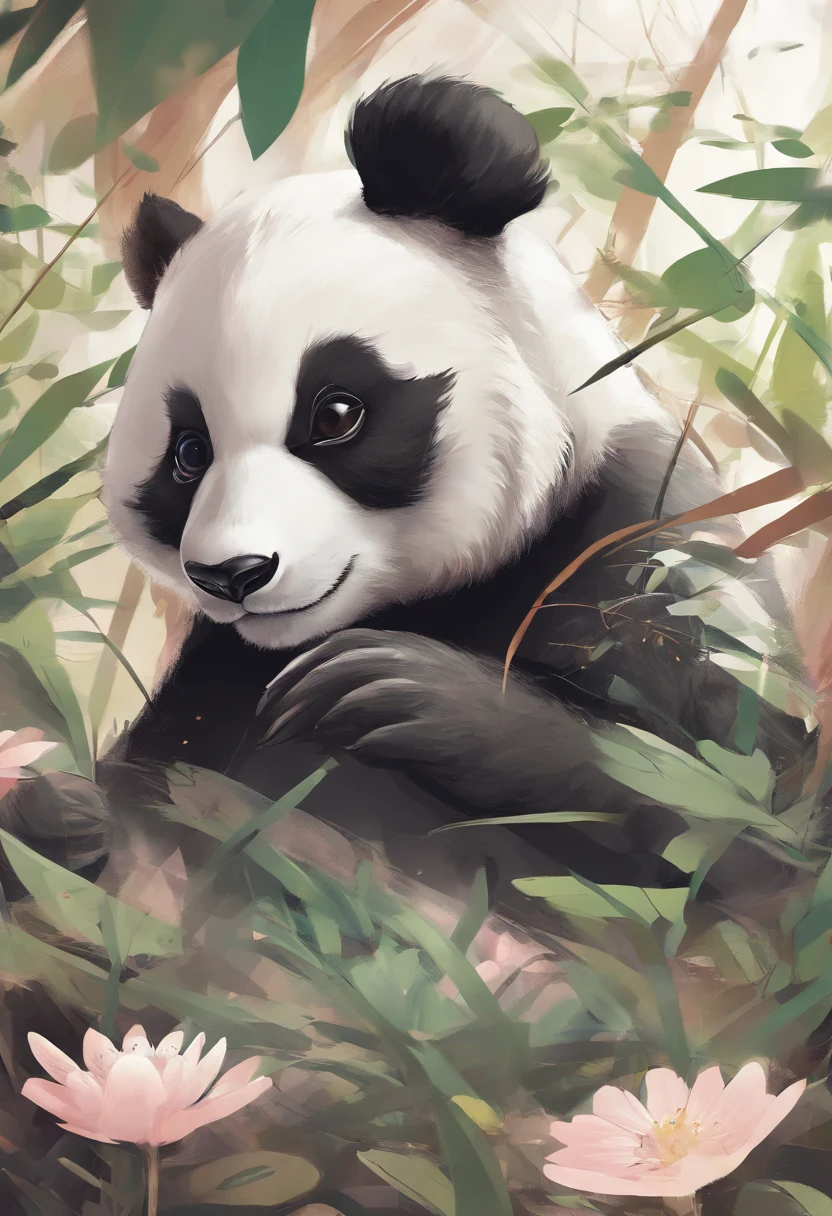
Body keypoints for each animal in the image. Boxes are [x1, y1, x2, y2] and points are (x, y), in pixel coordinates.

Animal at [99, 74, 810, 902]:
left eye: (336, 413)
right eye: (189, 452)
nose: (233, 574)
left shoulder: (652, 563)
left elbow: (740, 829)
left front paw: (400, 693)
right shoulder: (214, 674)